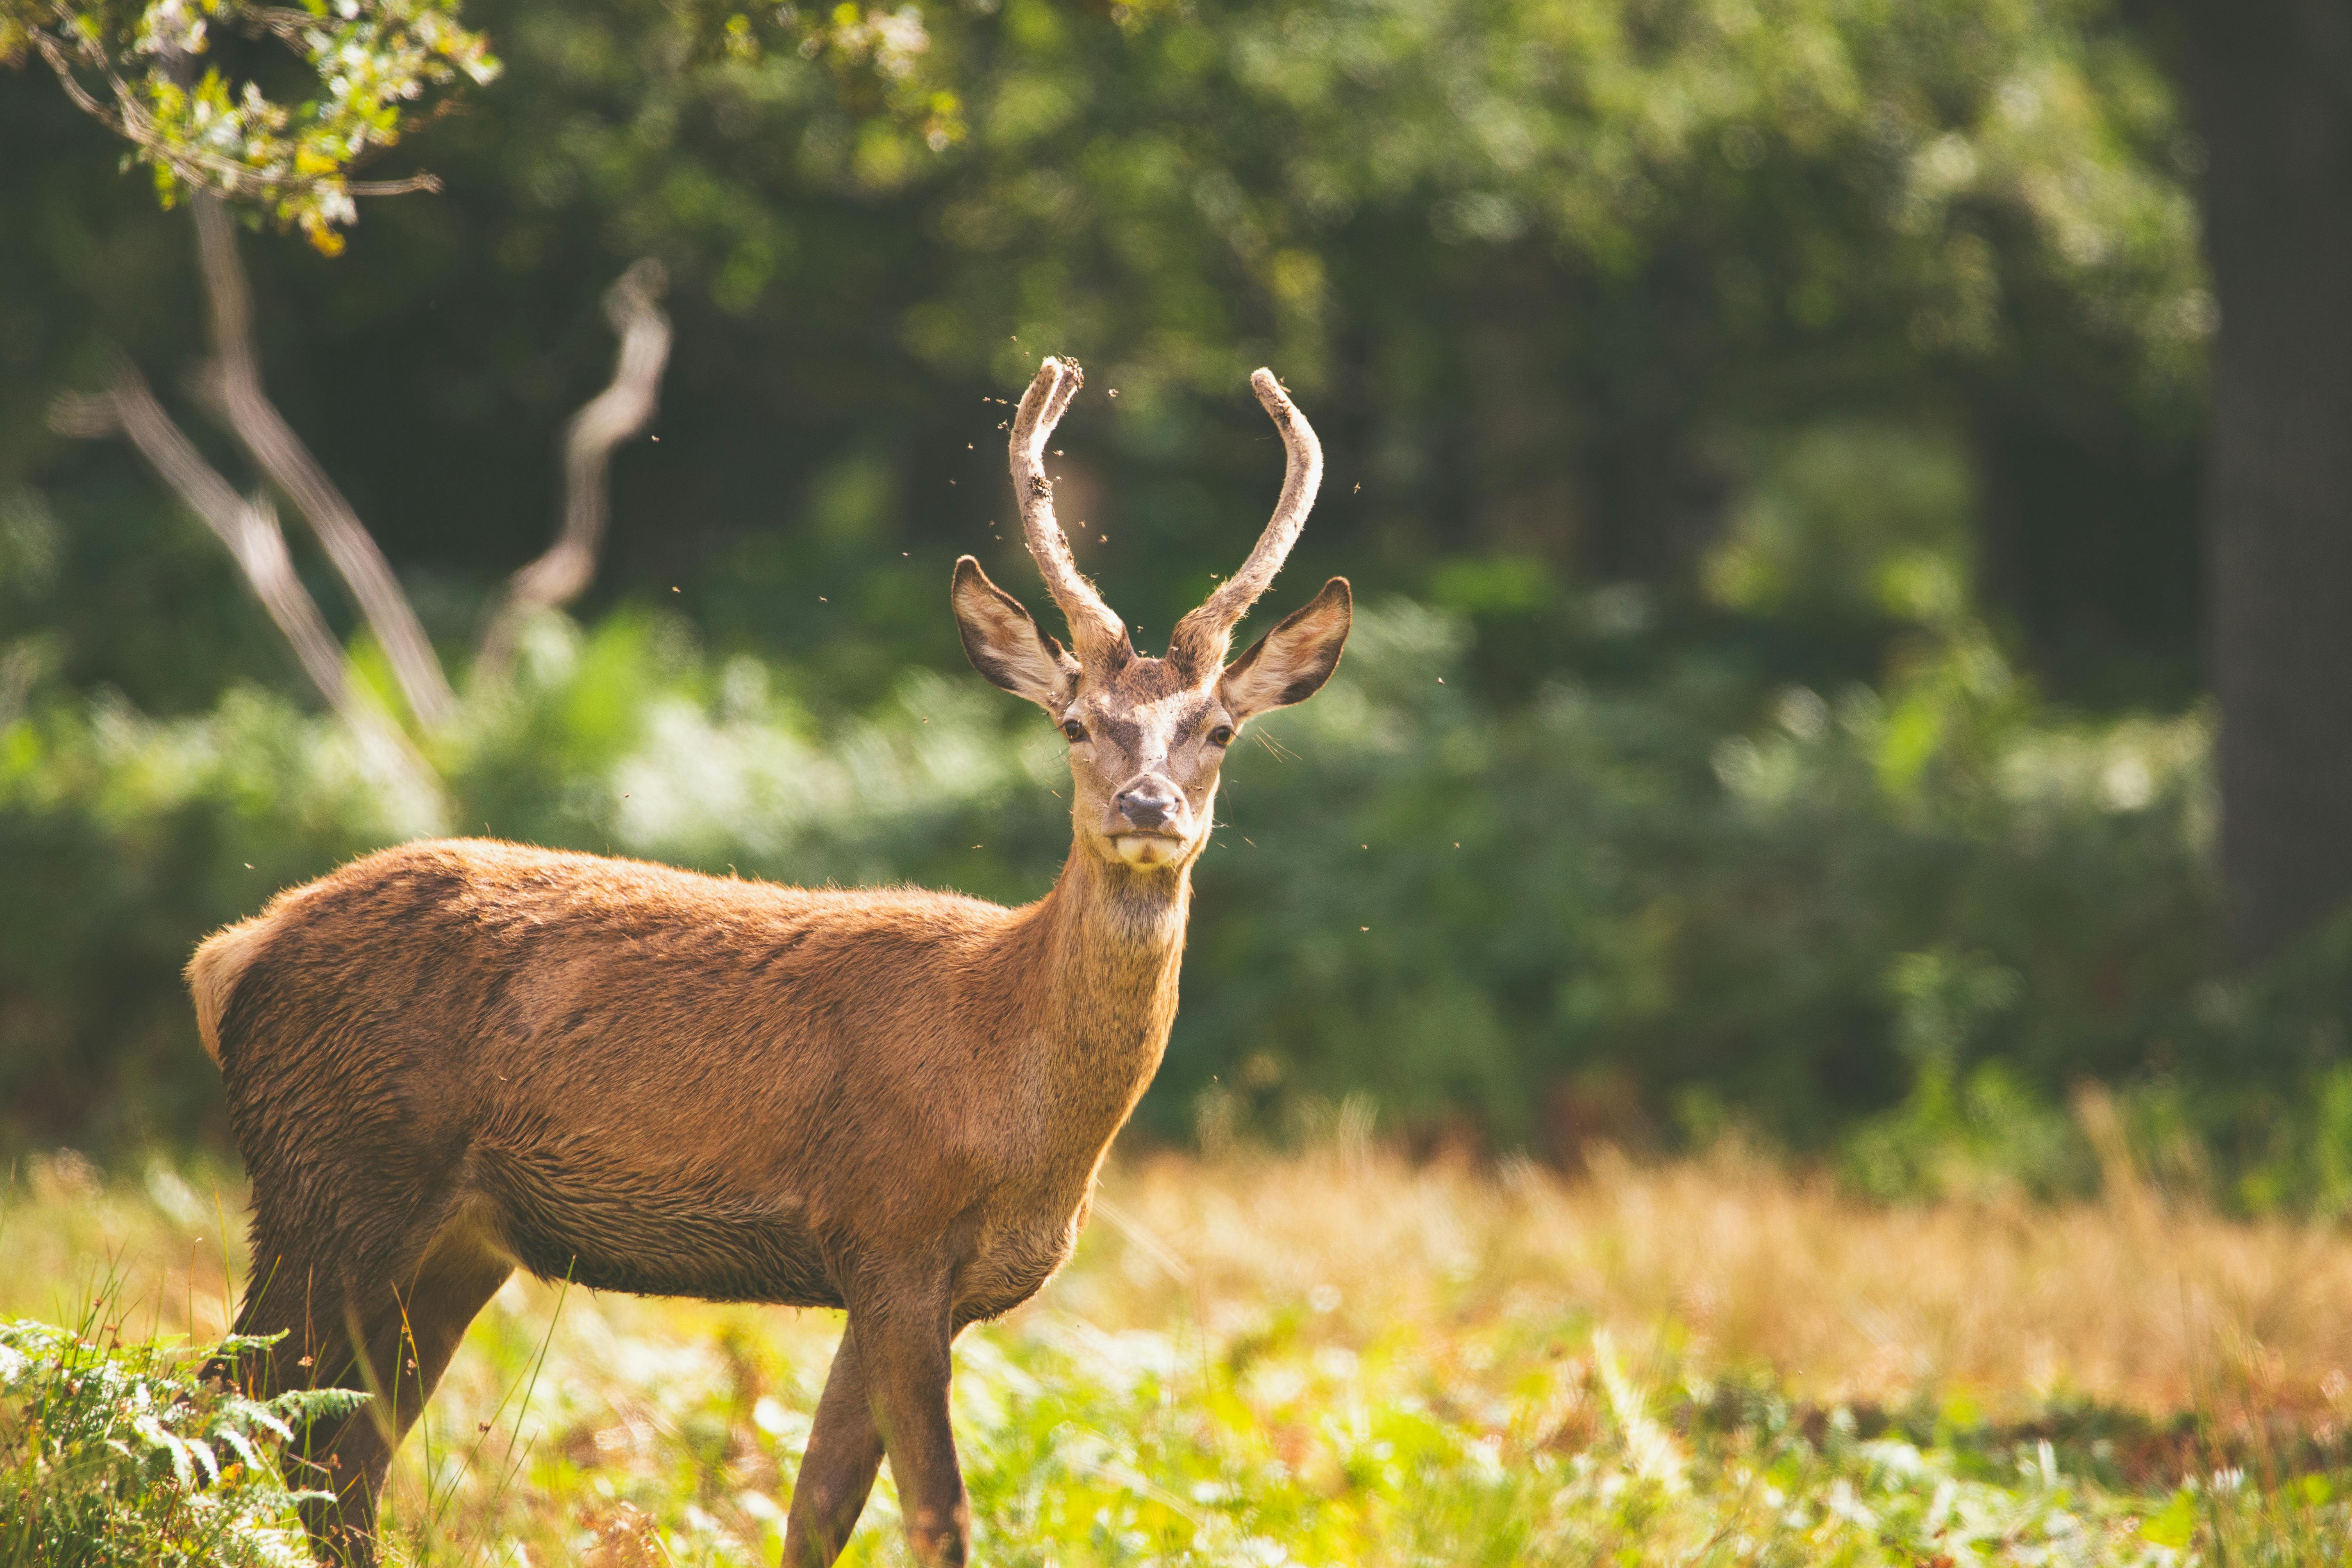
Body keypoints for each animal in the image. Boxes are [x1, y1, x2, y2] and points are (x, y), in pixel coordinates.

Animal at [186, 355, 1353, 1567]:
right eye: (1075, 722)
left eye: (1218, 730)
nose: (1147, 809)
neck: (1013, 1085)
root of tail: (234, 953)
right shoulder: (890, 1229)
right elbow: (937, 1514)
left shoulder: (906, 1281)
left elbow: (818, 1508)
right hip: (329, 1169)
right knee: (214, 1410)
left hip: (451, 1238)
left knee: (335, 1463)